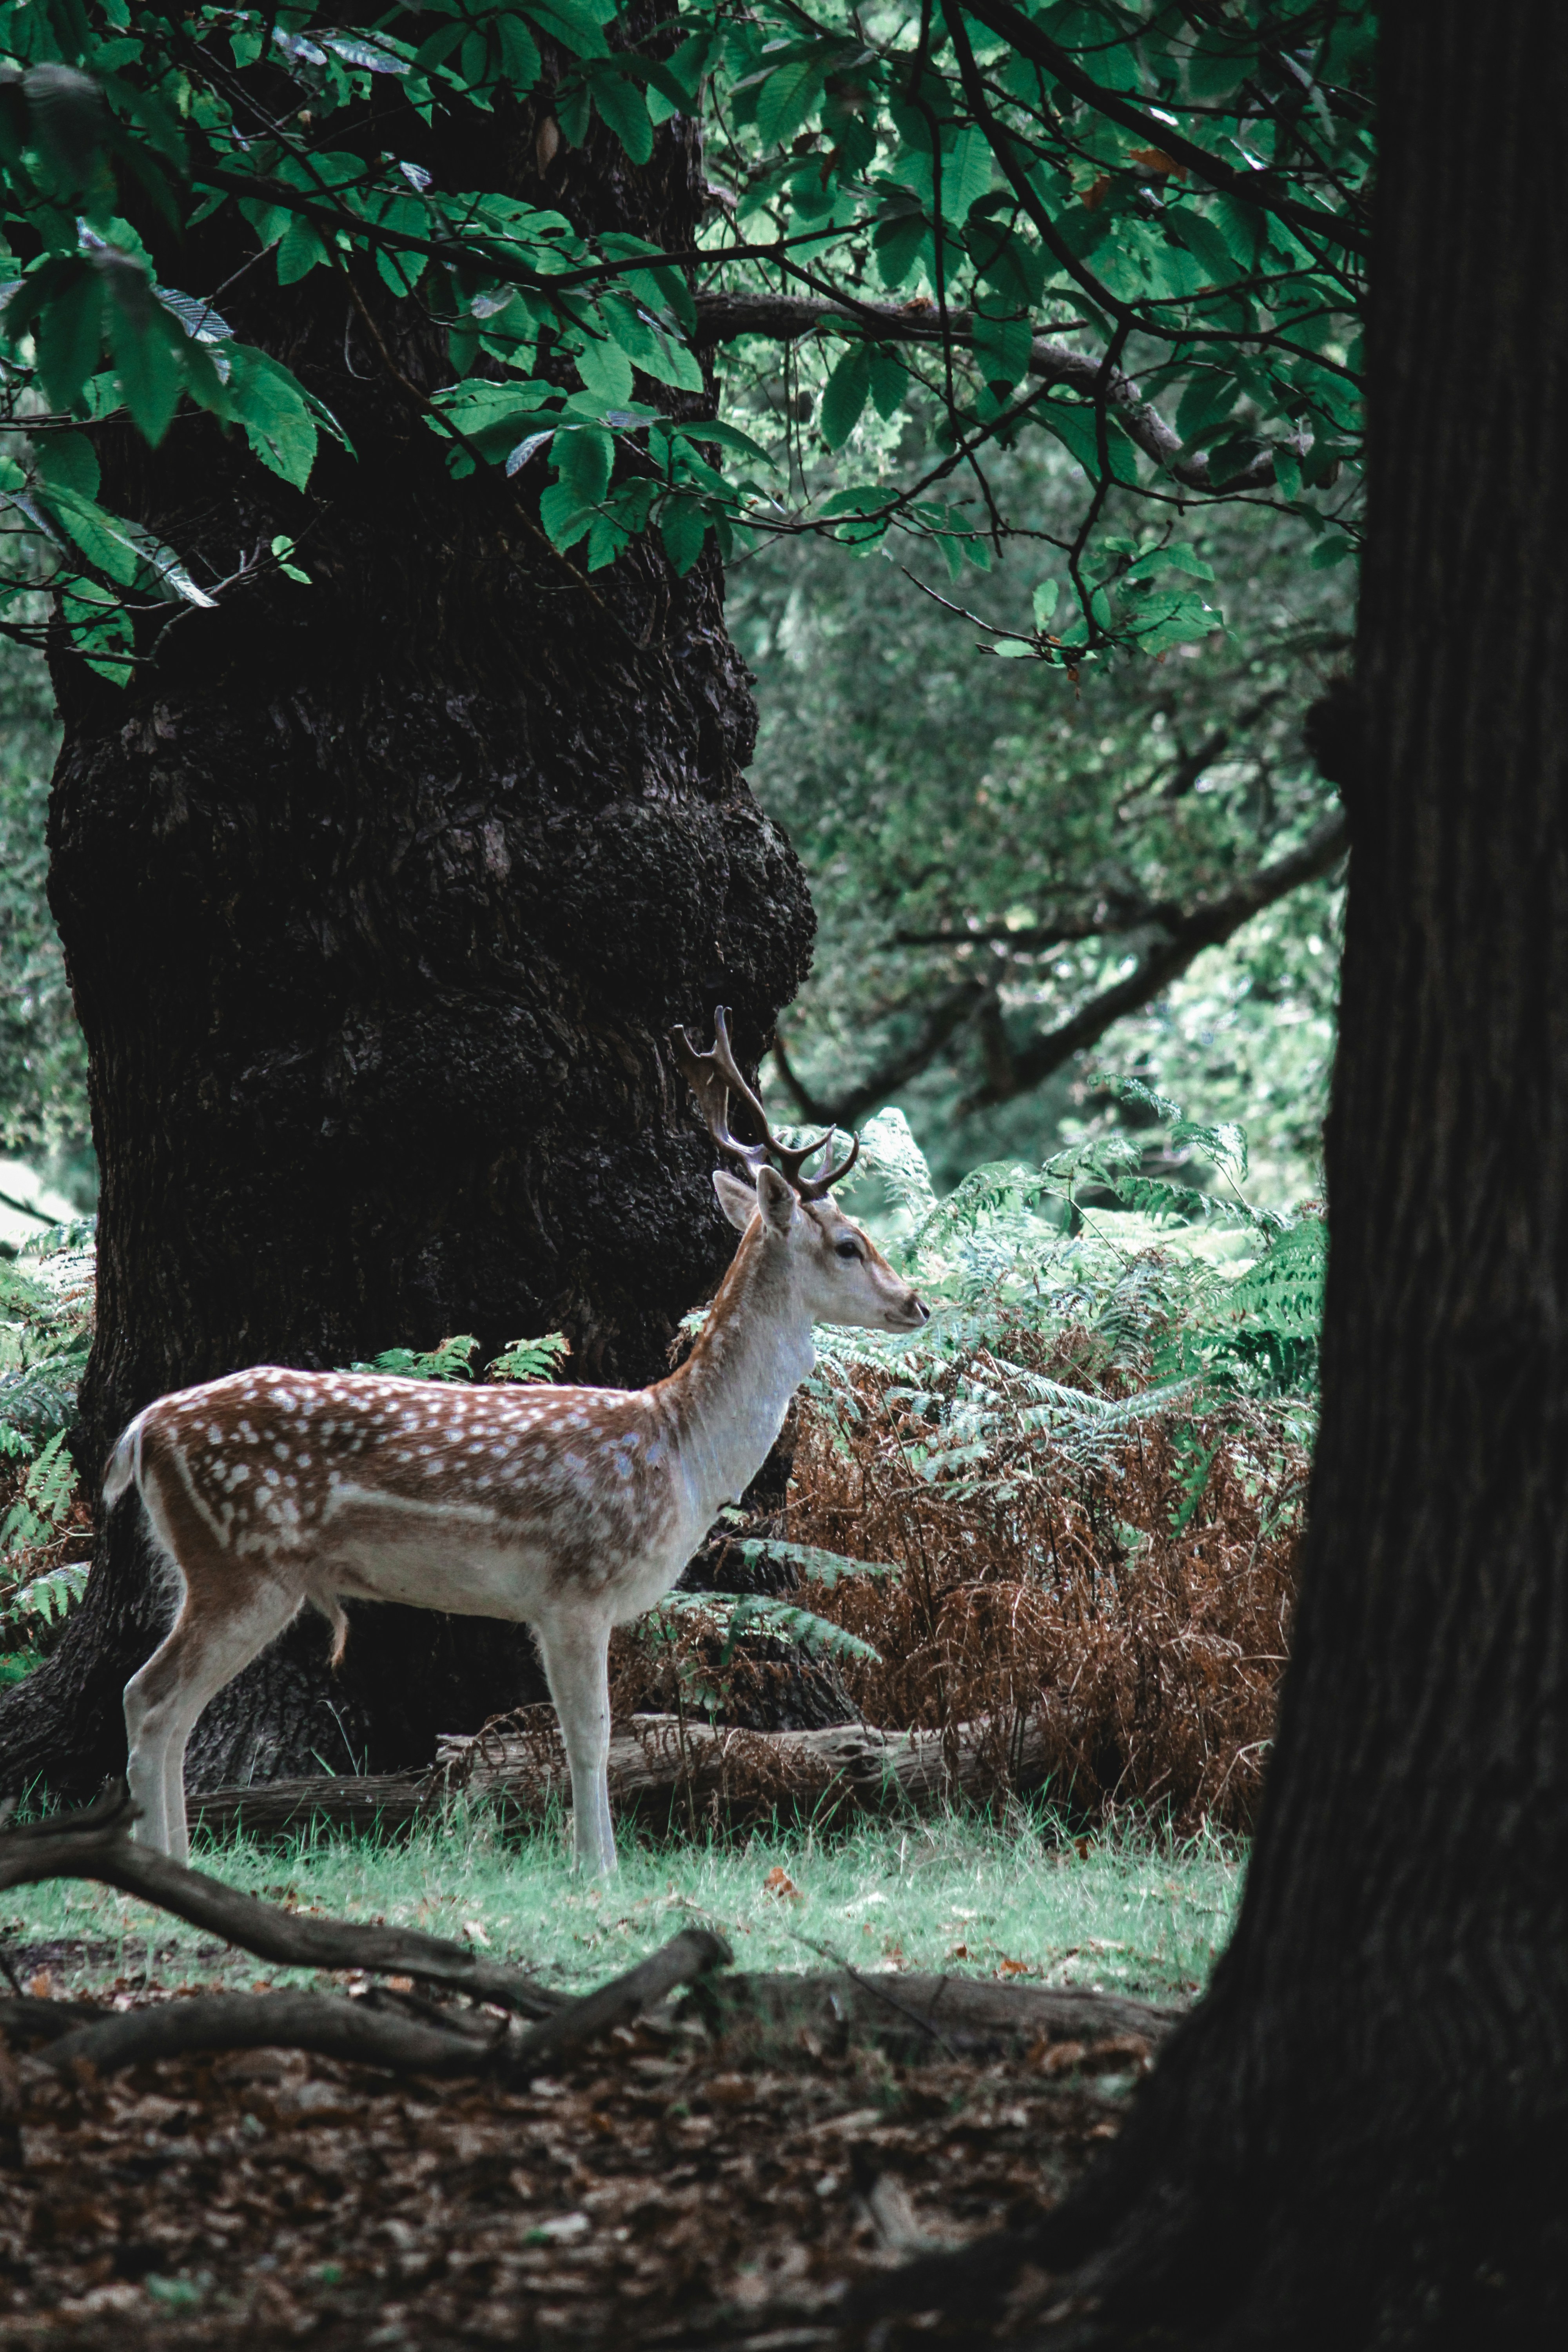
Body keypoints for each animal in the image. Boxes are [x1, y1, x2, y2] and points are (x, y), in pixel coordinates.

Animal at [108, 1011, 928, 1873]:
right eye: (848, 1242)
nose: (917, 1302)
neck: (681, 1452)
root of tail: (143, 1432)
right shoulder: (576, 1586)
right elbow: (590, 1735)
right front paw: (599, 1870)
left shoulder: (554, 1603)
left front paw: (590, 1861)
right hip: (241, 1560)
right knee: (150, 1697)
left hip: (215, 1565)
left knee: (159, 1702)